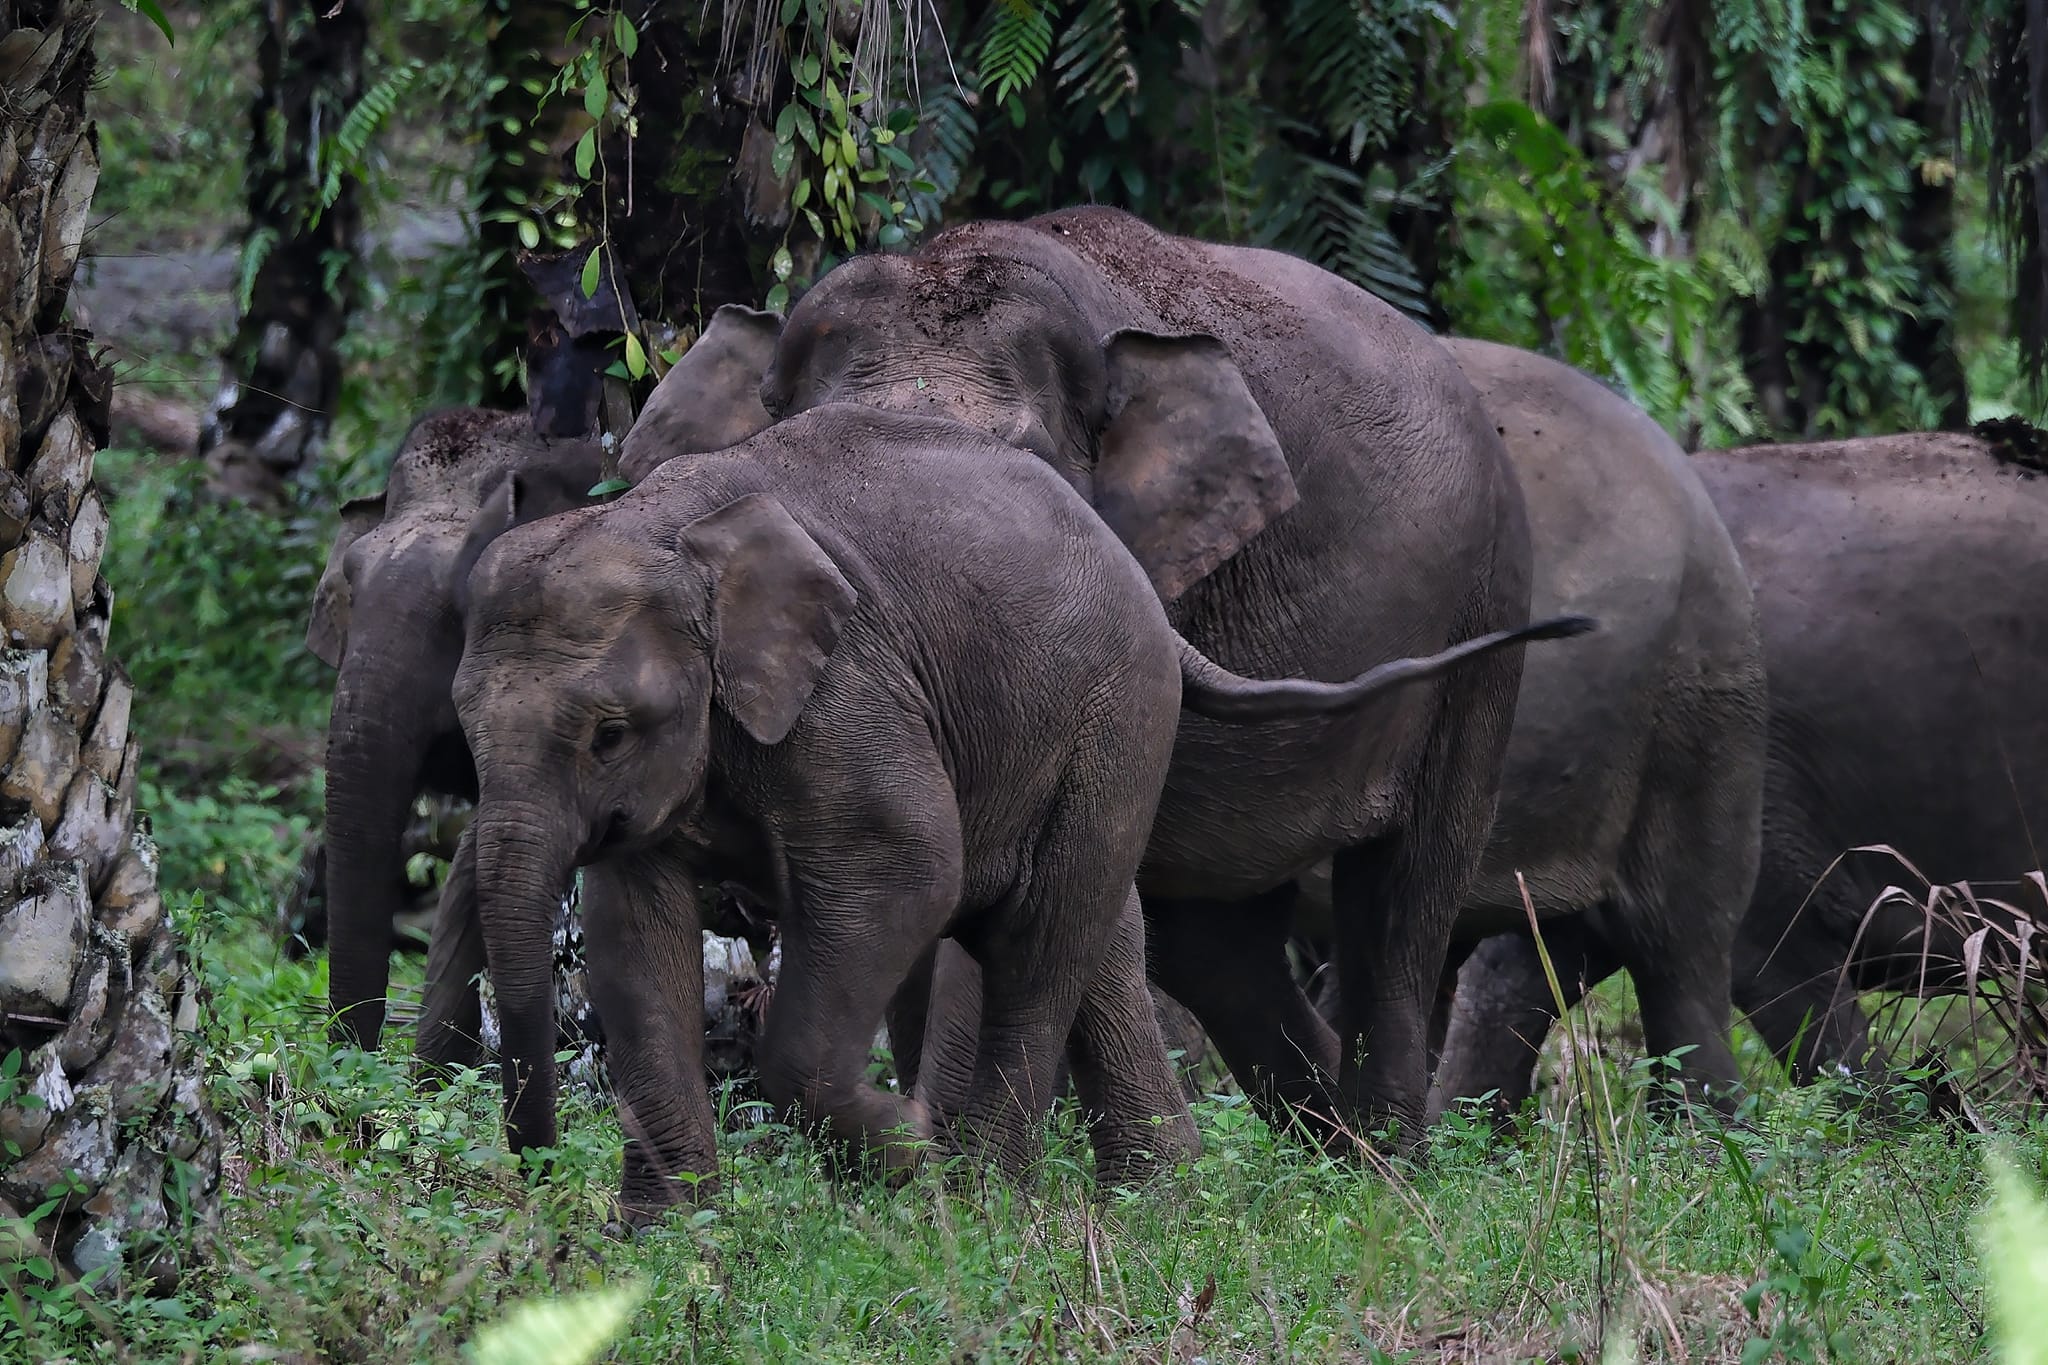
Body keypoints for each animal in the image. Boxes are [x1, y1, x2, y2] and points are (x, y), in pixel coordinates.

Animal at [450, 398, 1585, 1217]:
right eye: (461, 725)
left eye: (607, 732)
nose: (533, 1172)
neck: (656, 525)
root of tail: (1142, 587)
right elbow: (631, 932)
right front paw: (666, 1242)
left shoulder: (852, 688)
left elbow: (906, 867)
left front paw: (902, 1160)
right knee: (1096, 932)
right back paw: (1155, 1205)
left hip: (1116, 714)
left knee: (1038, 942)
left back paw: (992, 1203)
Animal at [619, 204, 1549, 1144]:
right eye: (805, 454)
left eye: (1034, 481)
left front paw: (942, 1154)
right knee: (1219, 946)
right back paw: (1338, 1155)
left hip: (1488, 608)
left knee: (1400, 899)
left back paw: (1389, 1156)